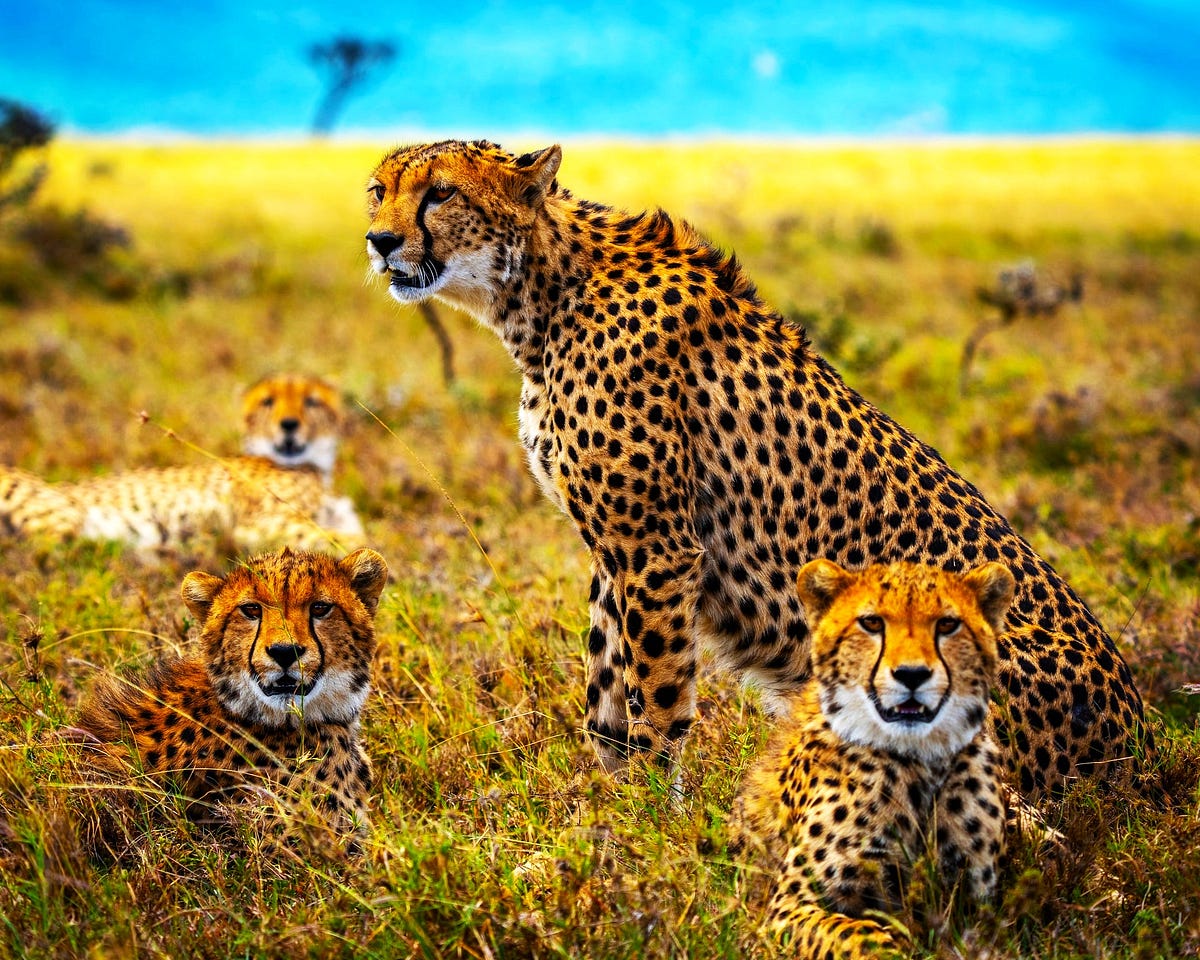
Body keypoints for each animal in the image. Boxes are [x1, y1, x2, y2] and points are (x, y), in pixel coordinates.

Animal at [0, 373, 363, 554]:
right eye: (267, 402)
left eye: (311, 401)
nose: (289, 425)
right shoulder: (261, 525)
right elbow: (357, 543)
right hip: (59, 514)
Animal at [363, 139, 1149, 798]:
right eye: (378, 191)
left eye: (439, 193)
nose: (380, 242)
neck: (545, 291)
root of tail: (1144, 743)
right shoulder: (616, 549)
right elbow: (606, 685)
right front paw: (608, 812)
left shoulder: (654, 546)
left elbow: (658, 689)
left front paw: (655, 824)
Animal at [729, 559, 1014, 957]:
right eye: (872, 623)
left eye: (947, 624)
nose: (912, 674)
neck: (921, 759)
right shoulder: (790, 904)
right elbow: (862, 936)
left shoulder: (977, 907)